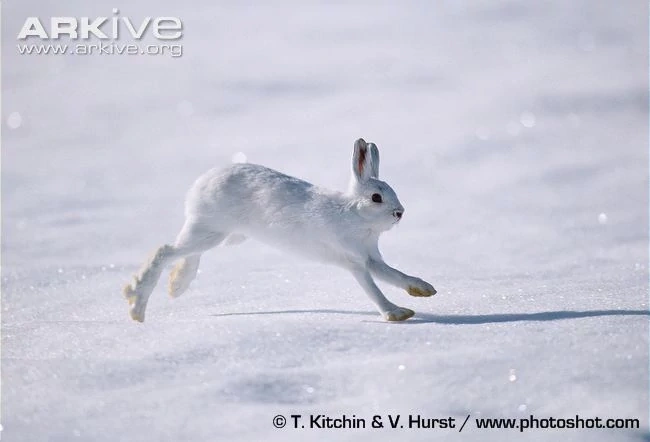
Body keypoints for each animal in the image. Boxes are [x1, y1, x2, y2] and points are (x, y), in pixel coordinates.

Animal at [123, 138, 436, 323]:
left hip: (217, 234)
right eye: (376, 198)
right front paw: (396, 313)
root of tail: (201, 182)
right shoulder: (354, 261)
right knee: (166, 251)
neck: (354, 215)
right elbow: (372, 288)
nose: (400, 213)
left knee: (185, 254)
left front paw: (424, 290)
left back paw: (177, 285)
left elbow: (394, 274)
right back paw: (138, 304)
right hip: (210, 230)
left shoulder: (371, 257)